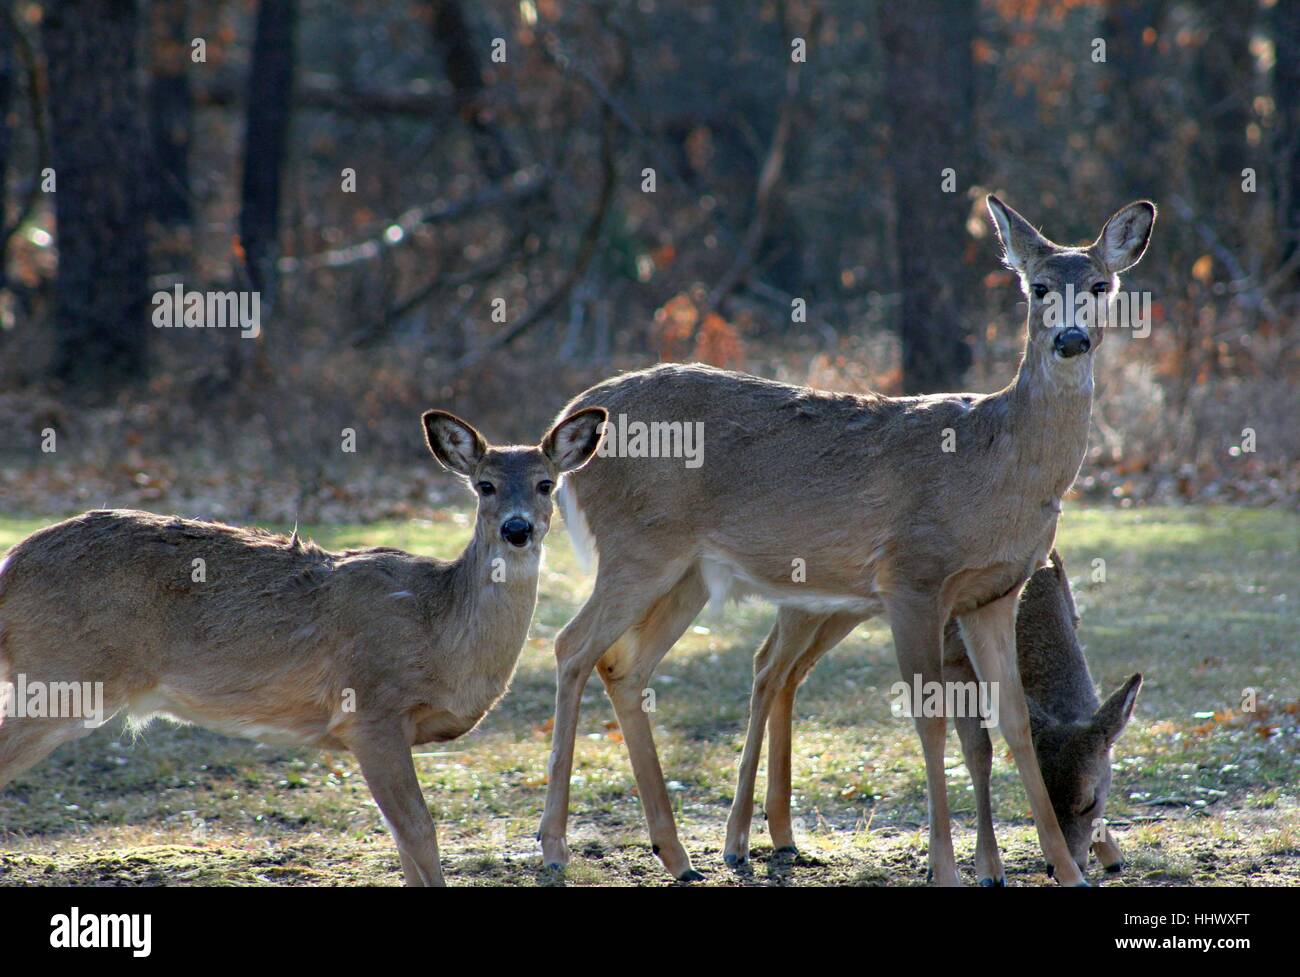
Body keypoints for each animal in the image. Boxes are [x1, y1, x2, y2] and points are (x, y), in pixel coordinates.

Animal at [0, 406, 607, 886]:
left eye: (546, 484)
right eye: (484, 485)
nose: (516, 529)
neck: (439, 631)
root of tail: (9, 566)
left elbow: (405, 846)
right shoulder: (370, 711)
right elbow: (420, 834)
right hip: (59, 676)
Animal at [740, 550, 1142, 885]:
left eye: (1090, 801)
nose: (1064, 867)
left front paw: (1112, 854)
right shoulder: (954, 659)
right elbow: (979, 751)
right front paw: (988, 869)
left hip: (843, 609)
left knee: (792, 671)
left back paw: (782, 834)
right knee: (767, 664)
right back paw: (742, 843)